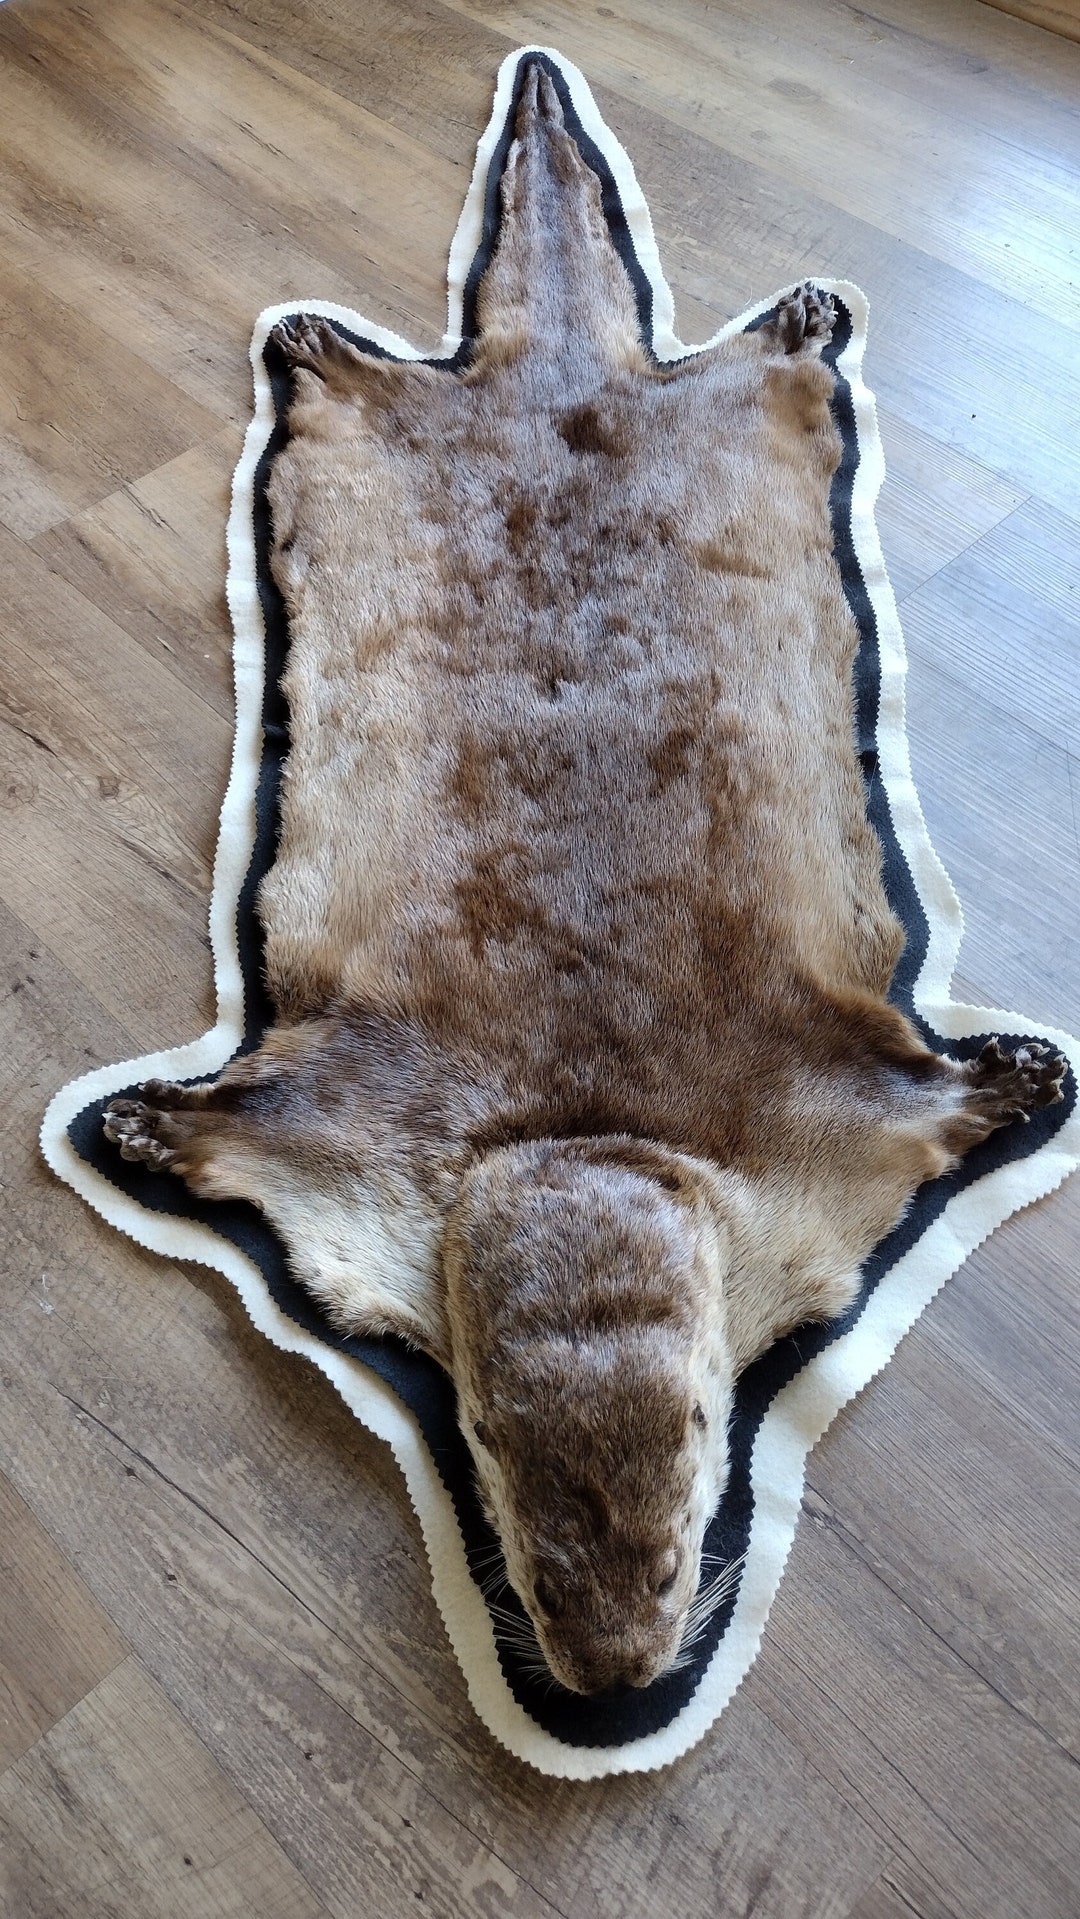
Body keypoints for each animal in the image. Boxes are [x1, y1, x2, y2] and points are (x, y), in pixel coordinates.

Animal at [103, 65, 1065, 1696]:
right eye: (488, 1455)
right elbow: (239, 1119)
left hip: (737, 396)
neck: (582, 1117)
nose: (615, 1673)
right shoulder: (337, 1145)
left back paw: (801, 309)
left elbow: (929, 1089)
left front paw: (1031, 1069)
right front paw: (131, 1118)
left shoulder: (836, 1129)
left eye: (687, 1480)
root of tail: (561, 366)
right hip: (386, 415)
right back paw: (313, 335)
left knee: (765, 360)